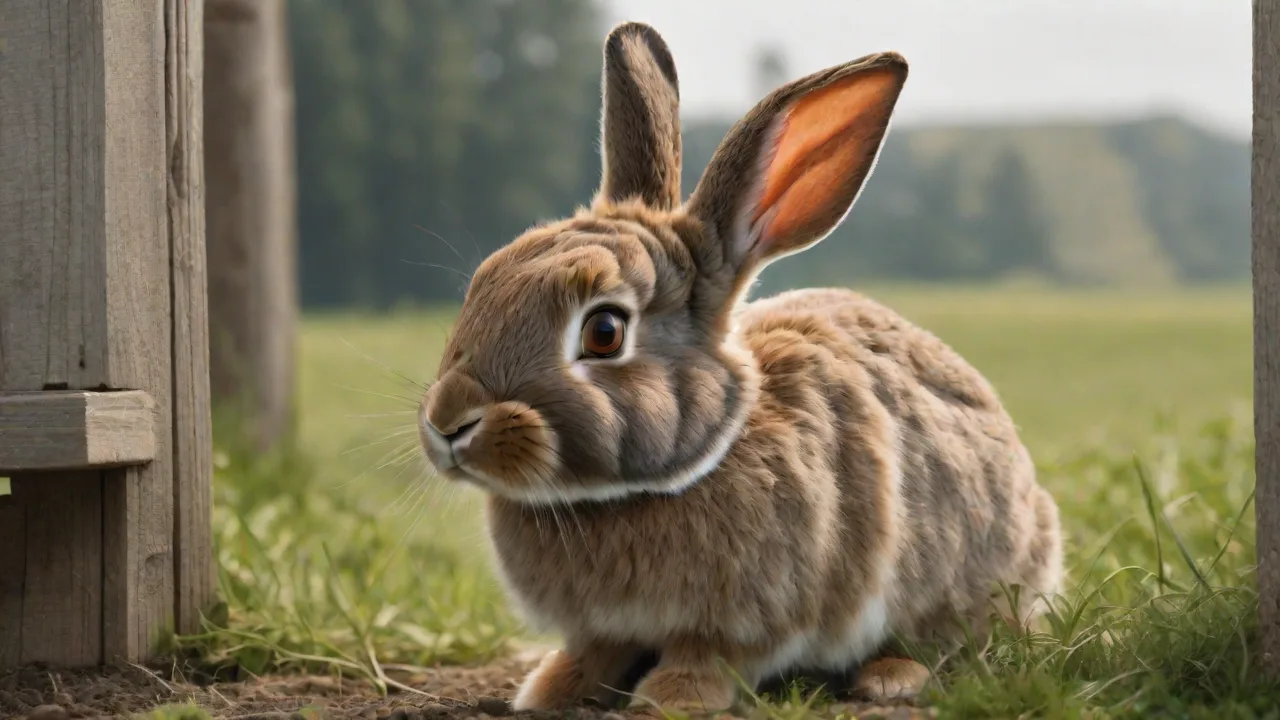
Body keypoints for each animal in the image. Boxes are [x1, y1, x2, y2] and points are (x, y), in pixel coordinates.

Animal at [417, 20, 1064, 715]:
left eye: (604, 333)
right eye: (483, 284)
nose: (447, 423)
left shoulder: (750, 617)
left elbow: (708, 655)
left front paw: (671, 696)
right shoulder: (602, 628)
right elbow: (594, 651)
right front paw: (550, 689)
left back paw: (890, 676)